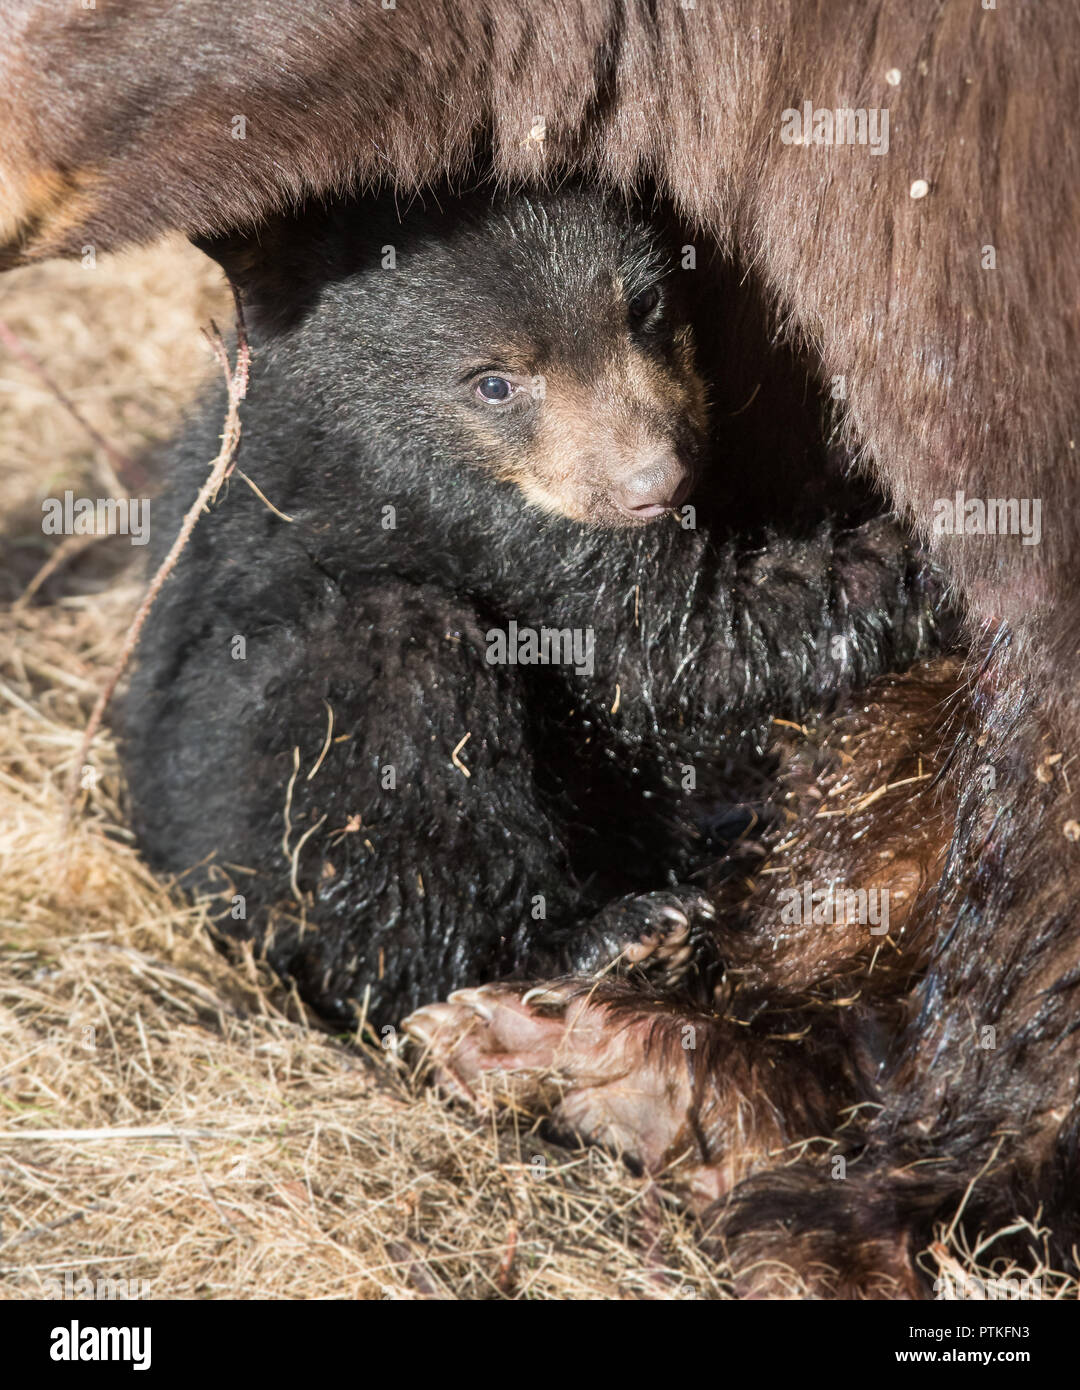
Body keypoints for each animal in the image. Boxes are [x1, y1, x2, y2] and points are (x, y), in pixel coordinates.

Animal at [119, 184, 944, 1028]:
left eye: (642, 305)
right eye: (493, 383)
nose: (654, 483)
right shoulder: (473, 517)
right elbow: (683, 639)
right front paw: (919, 552)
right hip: (260, 780)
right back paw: (607, 942)